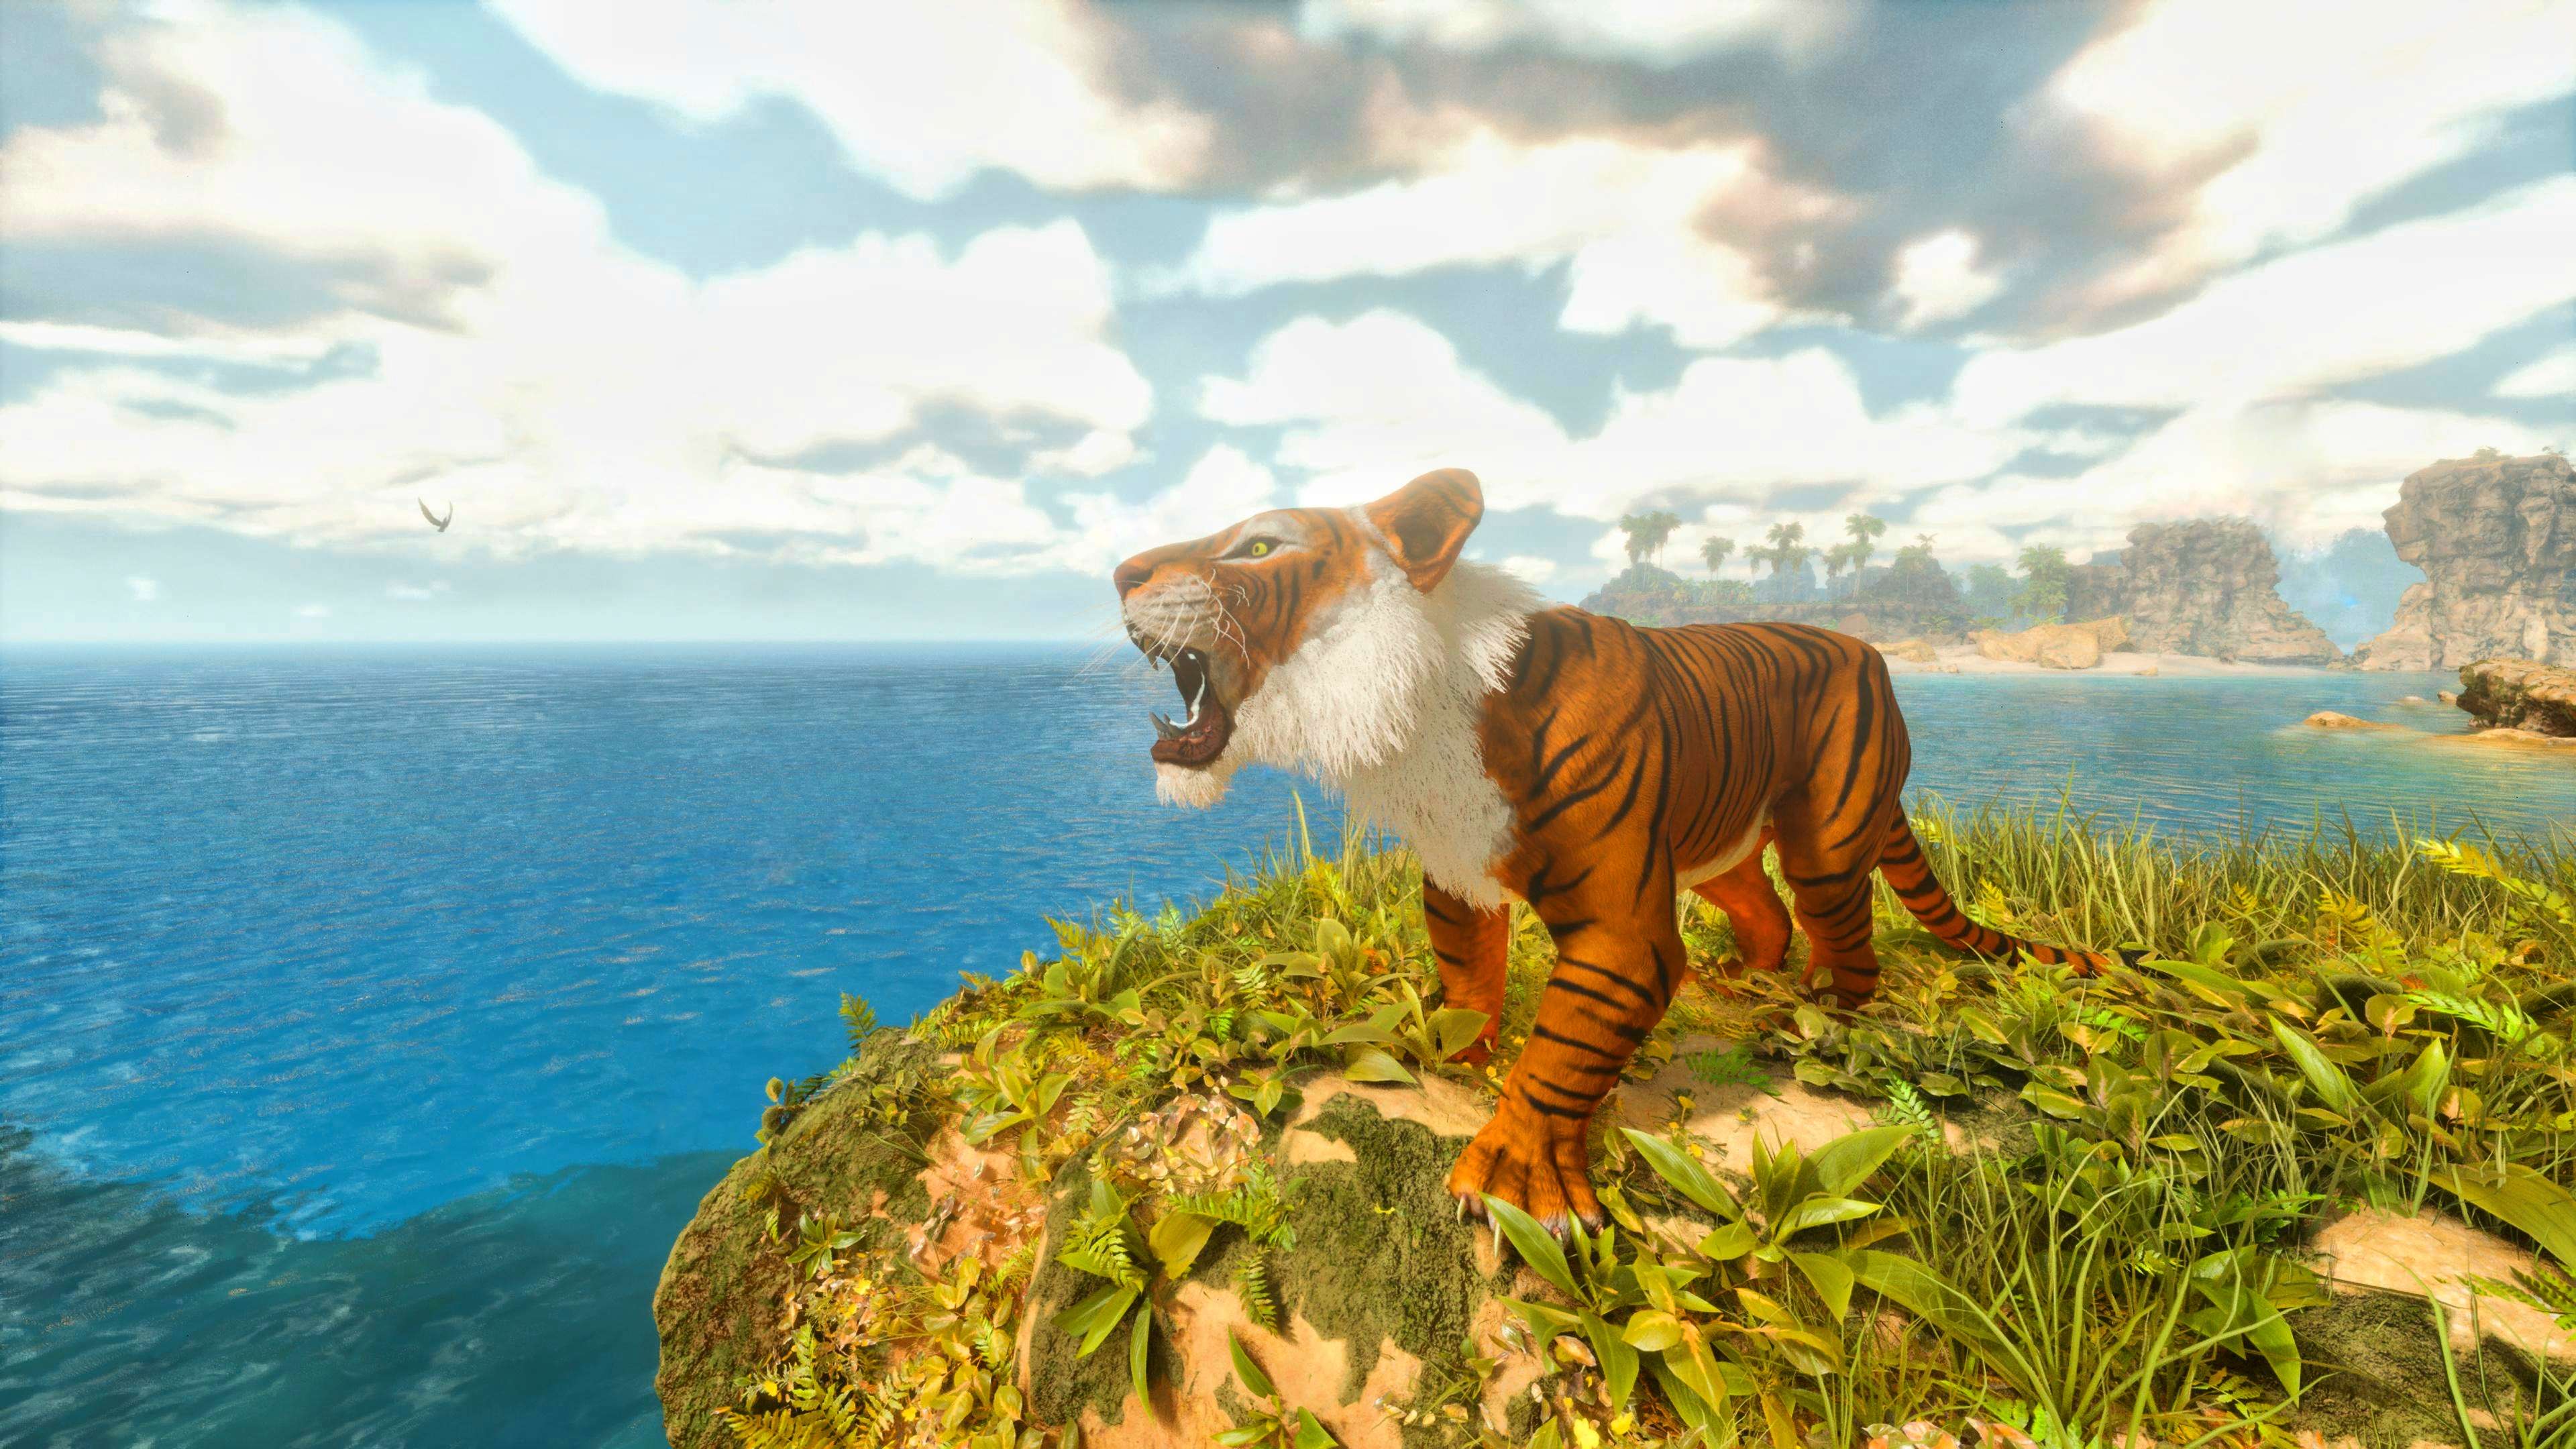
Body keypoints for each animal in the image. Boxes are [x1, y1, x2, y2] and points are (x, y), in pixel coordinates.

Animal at [1112, 467, 2119, 1231]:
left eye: (1260, 547)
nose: (1120, 572)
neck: (1416, 716)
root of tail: (1871, 654)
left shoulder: (1620, 929)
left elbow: (1564, 1049)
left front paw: (1516, 1179)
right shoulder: (1459, 878)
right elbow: (1469, 979)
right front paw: (1450, 1051)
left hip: (1828, 840)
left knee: (1849, 942)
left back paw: (1821, 1016)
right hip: (1721, 852)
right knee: (1768, 914)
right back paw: (1740, 983)